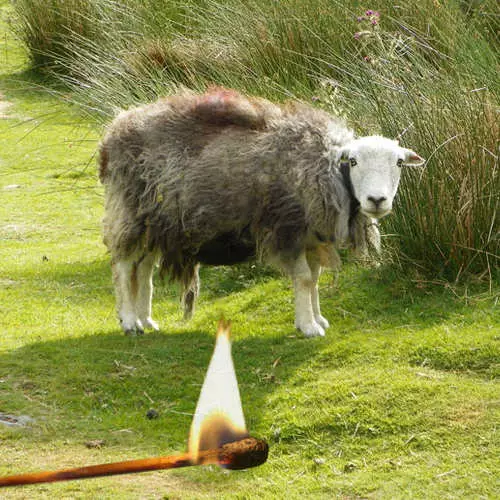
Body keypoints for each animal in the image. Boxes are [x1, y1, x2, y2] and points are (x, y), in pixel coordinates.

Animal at [99, 88, 424, 338]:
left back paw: (146, 320)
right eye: (353, 162)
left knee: (143, 269)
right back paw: (129, 321)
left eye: (398, 163)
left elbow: (315, 278)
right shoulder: (289, 229)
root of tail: (116, 127)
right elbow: (304, 278)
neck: (324, 167)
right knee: (123, 266)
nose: (377, 199)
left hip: (155, 223)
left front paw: (317, 318)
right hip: (130, 212)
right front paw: (308, 326)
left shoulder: (310, 235)